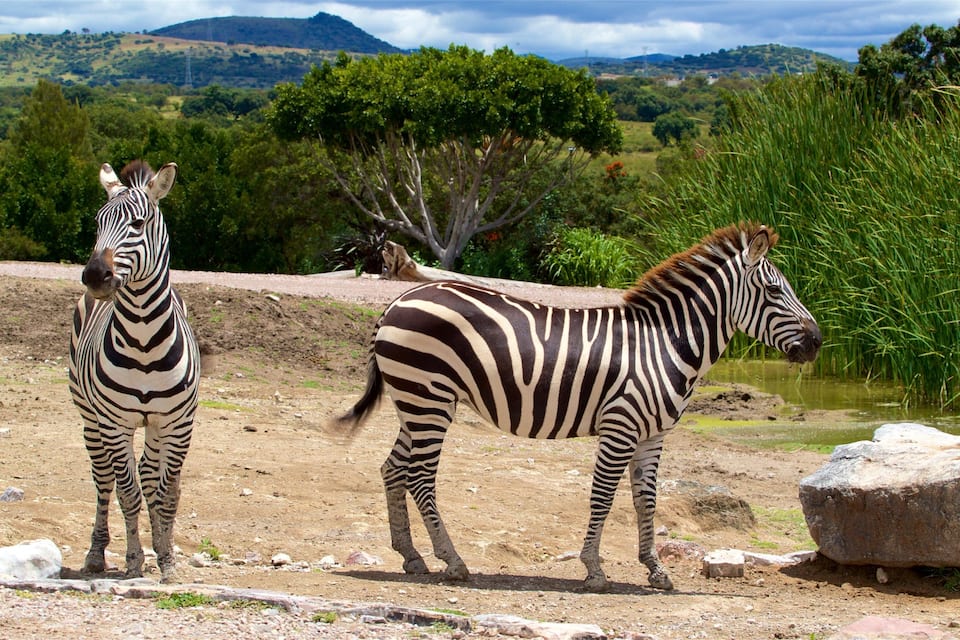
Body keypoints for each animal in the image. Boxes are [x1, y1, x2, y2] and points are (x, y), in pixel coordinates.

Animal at [68, 160, 200, 583]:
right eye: (98, 222)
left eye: (139, 224)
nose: (95, 276)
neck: (143, 340)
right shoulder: (115, 423)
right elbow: (127, 492)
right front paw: (133, 561)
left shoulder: (177, 424)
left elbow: (166, 493)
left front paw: (167, 561)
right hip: (91, 419)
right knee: (103, 480)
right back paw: (97, 554)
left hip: (155, 425)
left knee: (148, 475)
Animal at [336, 222, 821, 592]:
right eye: (774, 291)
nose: (817, 342)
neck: (665, 344)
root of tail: (397, 301)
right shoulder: (621, 426)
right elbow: (603, 497)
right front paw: (595, 570)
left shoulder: (652, 434)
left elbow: (646, 500)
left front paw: (655, 569)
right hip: (429, 398)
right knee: (419, 477)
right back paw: (451, 561)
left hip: (416, 401)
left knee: (393, 469)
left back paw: (411, 556)